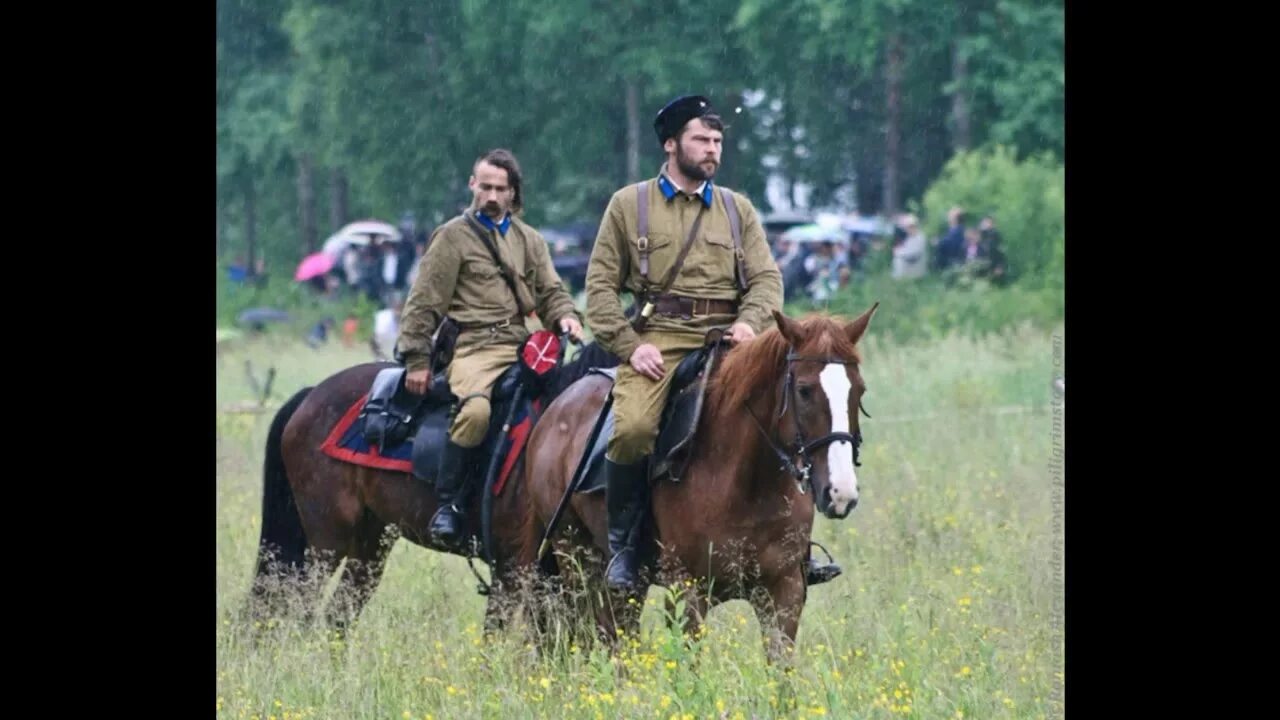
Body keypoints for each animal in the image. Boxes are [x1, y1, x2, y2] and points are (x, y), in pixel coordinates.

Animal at [248, 338, 619, 630]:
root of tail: (310, 396)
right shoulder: (513, 565)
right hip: (328, 538)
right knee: (302, 601)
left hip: (370, 541)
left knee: (338, 613)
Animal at [514, 304, 875, 661]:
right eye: (804, 390)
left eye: (859, 390)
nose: (840, 493)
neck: (749, 486)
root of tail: (554, 413)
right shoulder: (688, 592)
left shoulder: (785, 591)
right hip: (577, 561)